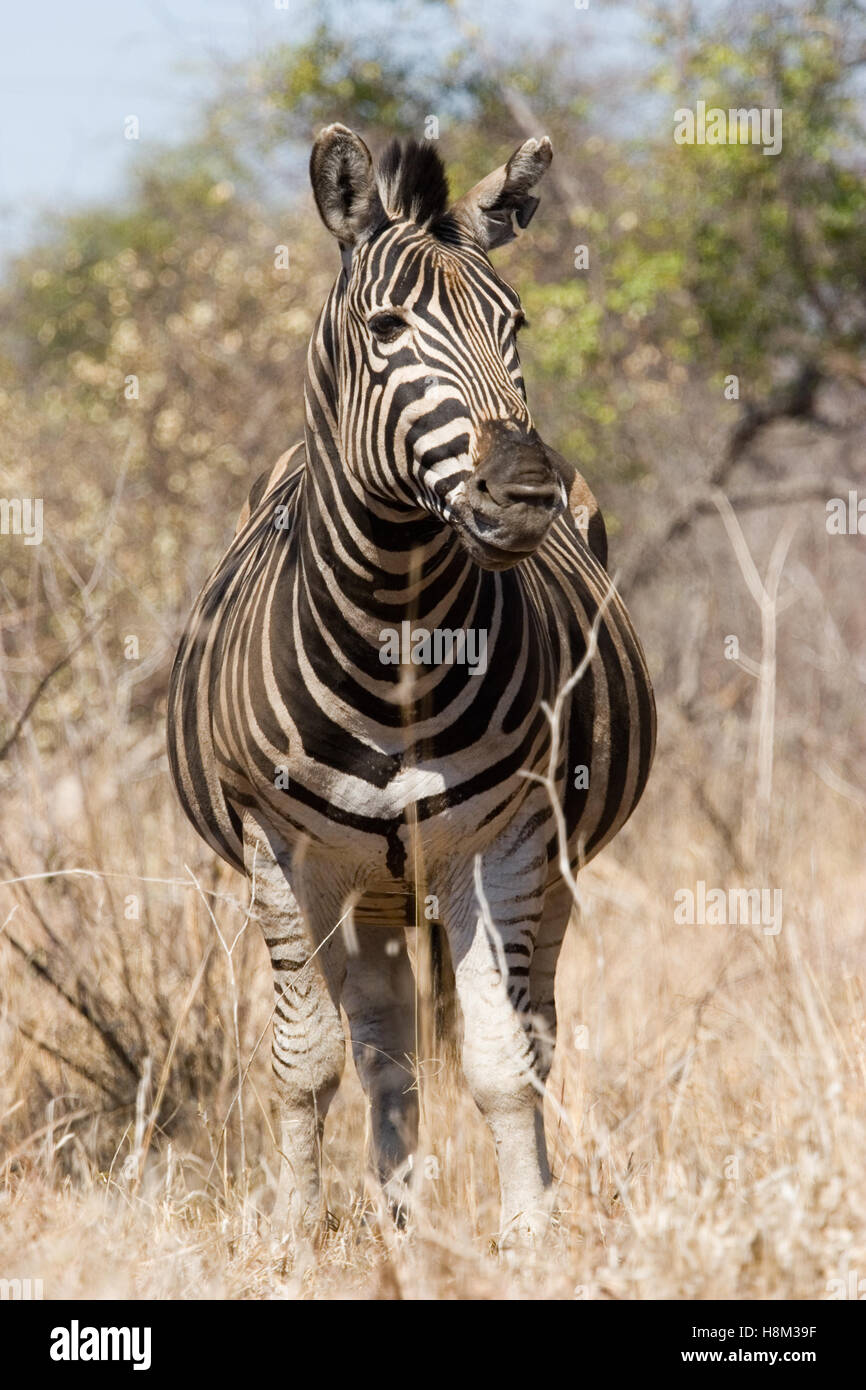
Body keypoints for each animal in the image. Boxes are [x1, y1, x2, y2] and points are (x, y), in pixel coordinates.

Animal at [167, 126, 655, 1243]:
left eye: (514, 324)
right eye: (388, 327)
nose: (524, 492)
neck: (393, 633)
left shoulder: (506, 842)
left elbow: (503, 1059)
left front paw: (530, 1236)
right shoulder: (282, 852)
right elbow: (305, 1064)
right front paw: (295, 1238)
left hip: (538, 869)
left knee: (525, 1024)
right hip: (372, 887)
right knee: (384, 1048)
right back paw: (397, 1221)